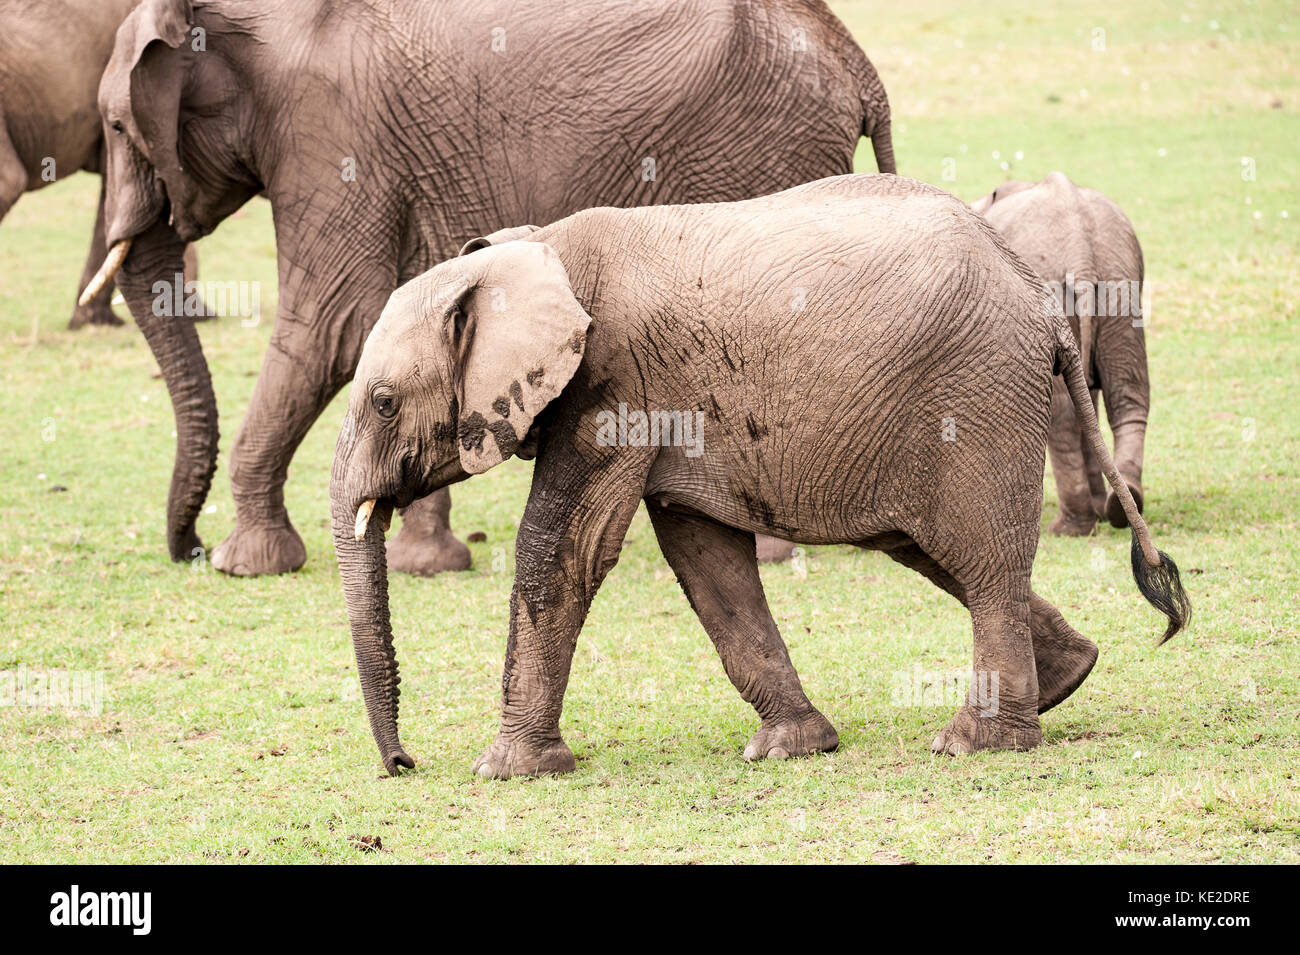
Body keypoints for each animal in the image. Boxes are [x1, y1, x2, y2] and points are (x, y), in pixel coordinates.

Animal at [84, 0, 896, 577]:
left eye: (118, 128)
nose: (187, 548)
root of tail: (856, 60)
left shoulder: (331, 135)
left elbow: (330, 326)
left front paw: (246, 565)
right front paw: (427, 561)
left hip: (763, 151)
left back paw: (772, 549)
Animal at [971, 172, 1148, 536]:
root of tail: (1080, 249)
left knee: (1062, 416)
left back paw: (1068, 528)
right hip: (1120, 285)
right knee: (1128, 397)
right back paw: (1120, 507)